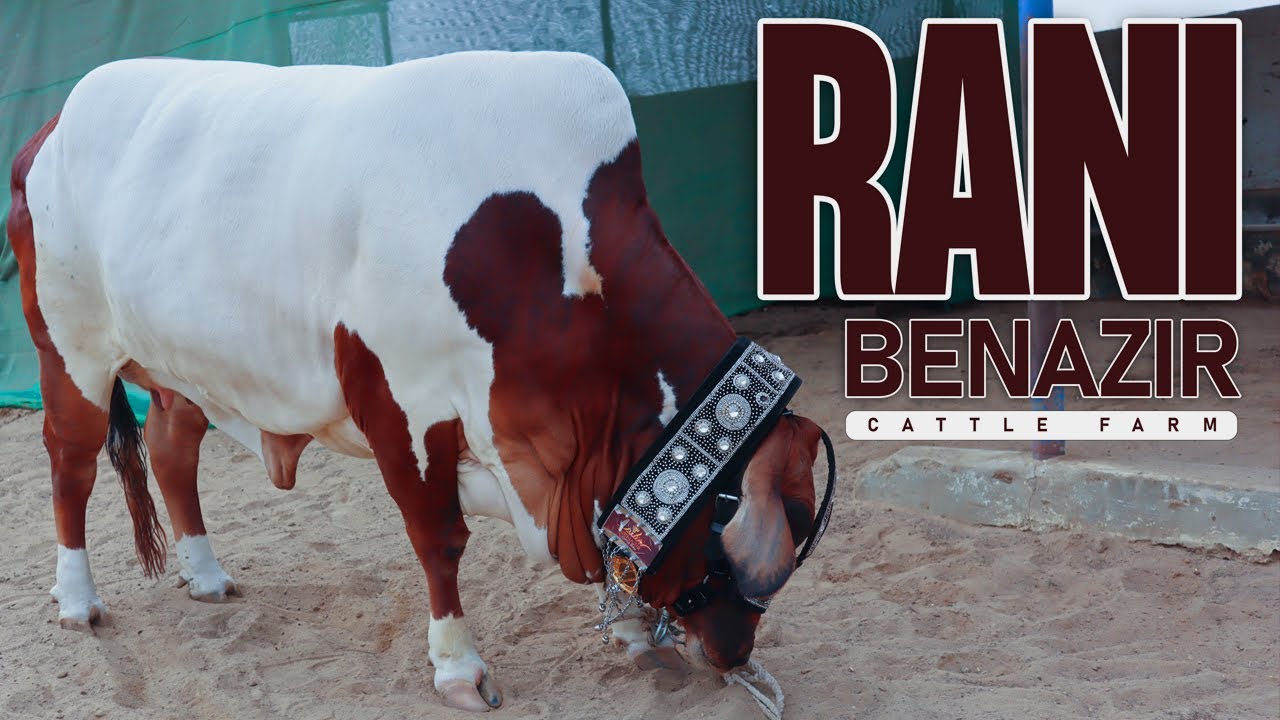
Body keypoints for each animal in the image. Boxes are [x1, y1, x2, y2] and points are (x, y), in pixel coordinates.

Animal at [7, 51, 827, 712]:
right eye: (776, 526)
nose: (736, 652)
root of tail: (51, 125)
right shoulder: (402, 402)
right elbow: (439, 538)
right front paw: (459, 669)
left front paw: (627, 627)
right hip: (70, 350)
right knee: (71, 464)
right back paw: (77, 599)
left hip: (183, 367)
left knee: (173, 451)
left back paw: (205, 575)